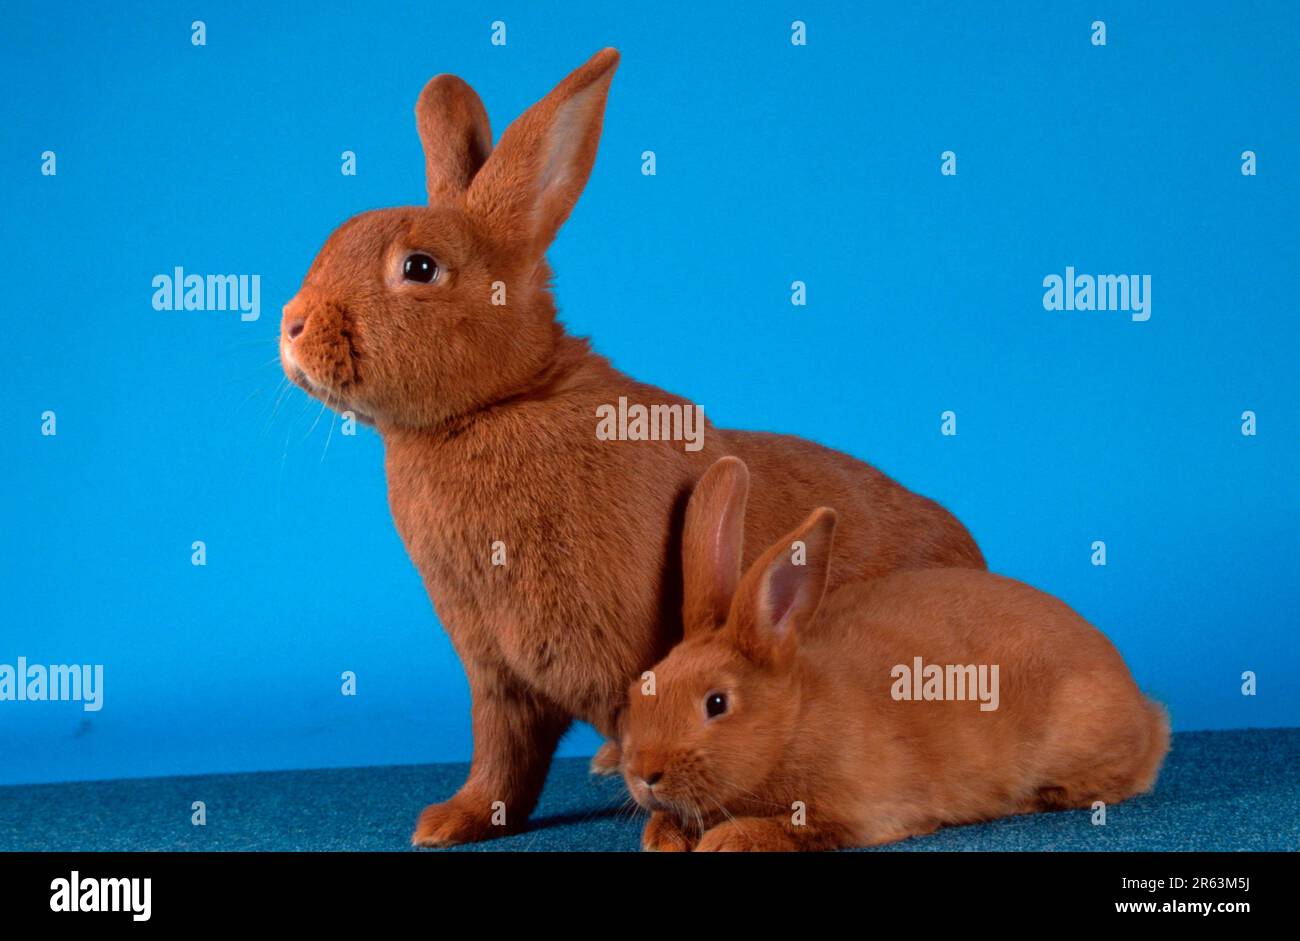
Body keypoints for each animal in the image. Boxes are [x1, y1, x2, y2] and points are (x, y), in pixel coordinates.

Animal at [278, 48, 985, 847]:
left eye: (419, 268)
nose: (292, 326)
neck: (502, 400)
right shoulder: (497, 678)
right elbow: (502, 758)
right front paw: (452, 821)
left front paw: (665, 826)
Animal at [621, 456, 1169, 851]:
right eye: (638, 693)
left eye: (717, 703)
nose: (644, 775)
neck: (793, 722)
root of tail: (1147, 711)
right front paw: (663, 837)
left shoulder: (859, 812)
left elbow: (791, 829)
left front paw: (724, 841)